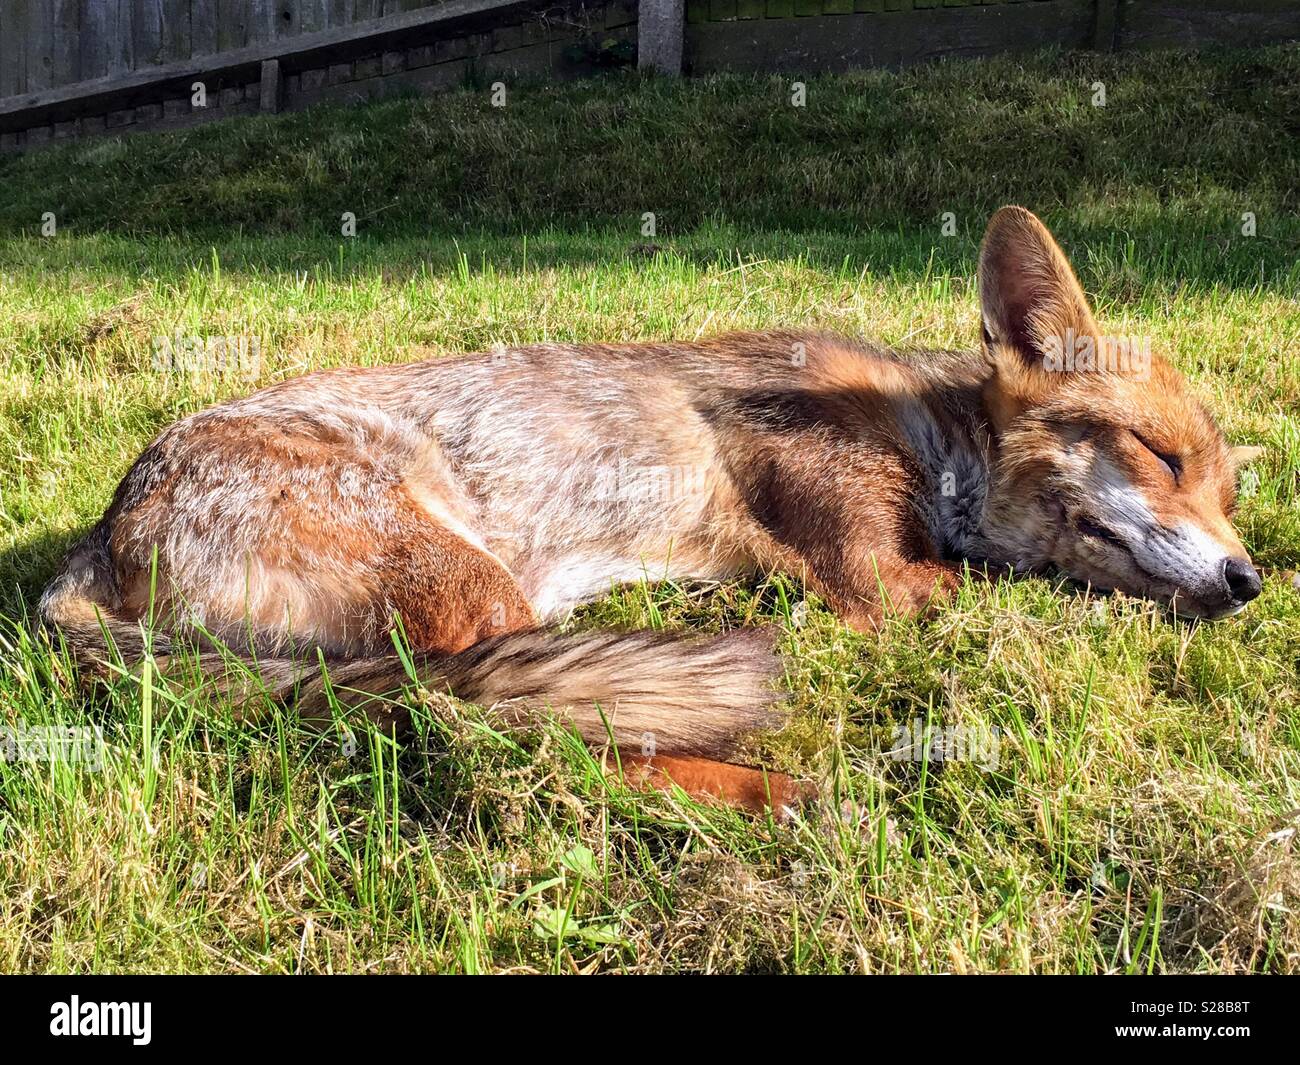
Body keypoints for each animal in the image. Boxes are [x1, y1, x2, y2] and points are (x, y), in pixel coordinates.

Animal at [39, 206, 1263, 815]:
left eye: (1226, 489)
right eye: (1157, 454)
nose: (1249, 581)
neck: (917, 429)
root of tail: (97, 543)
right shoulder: (872, 581)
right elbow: (1023, 593)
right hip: (472, 598)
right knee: (499, 740)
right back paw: (774, 790)